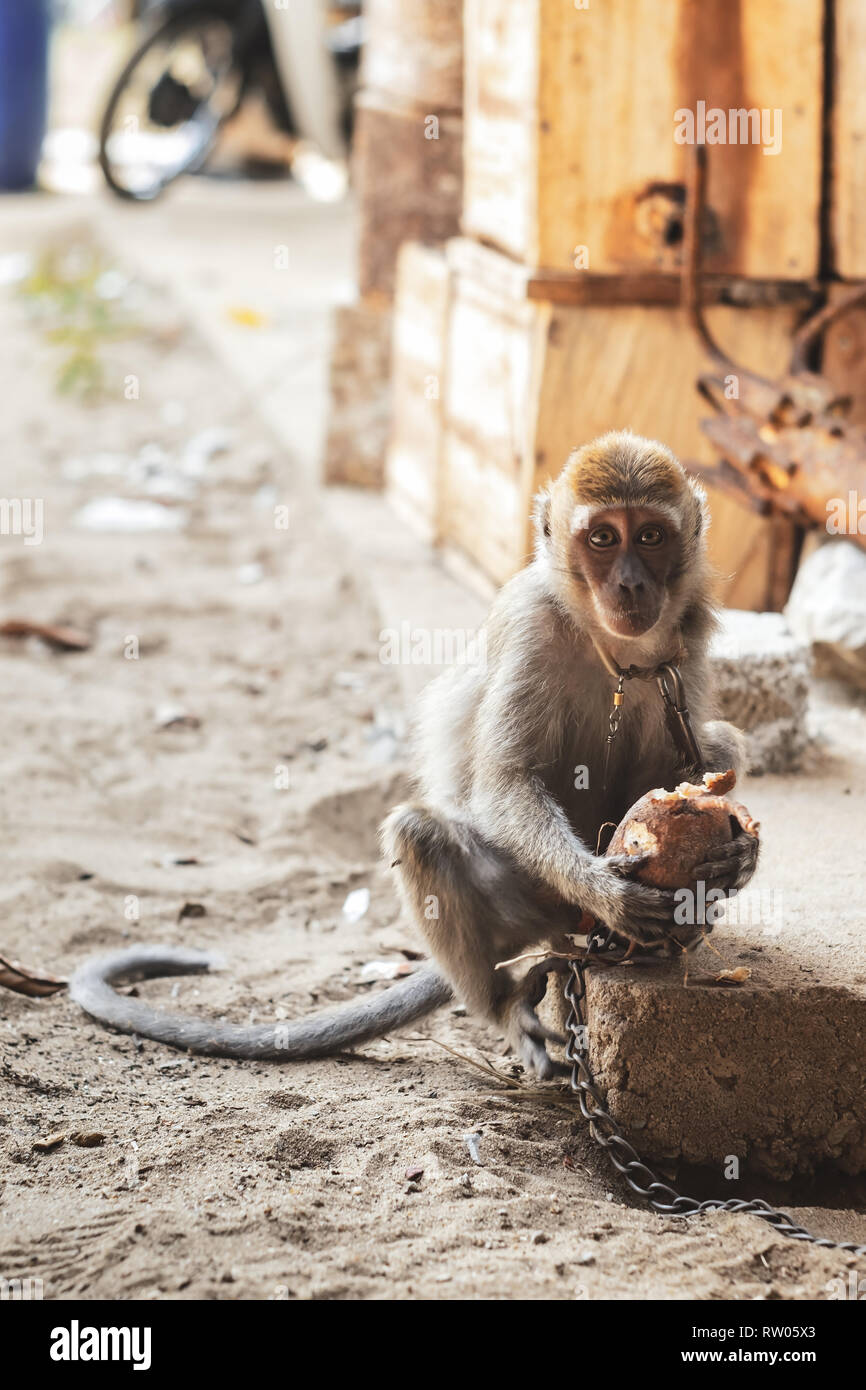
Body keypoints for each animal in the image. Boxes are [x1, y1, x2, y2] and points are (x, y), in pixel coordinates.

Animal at [70, 431, 759, 1078]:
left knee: (721, 739)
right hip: (525, 900)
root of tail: (566, 928)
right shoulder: (530, 624)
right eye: (602, 538)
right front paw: (606, 889)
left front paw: (737, 856)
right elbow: (506, 781)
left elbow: (691, 767)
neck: (614, 650)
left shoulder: (691, 638)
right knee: (418, 833)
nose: (630, 582)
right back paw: (504, 1005)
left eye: (650, 536)